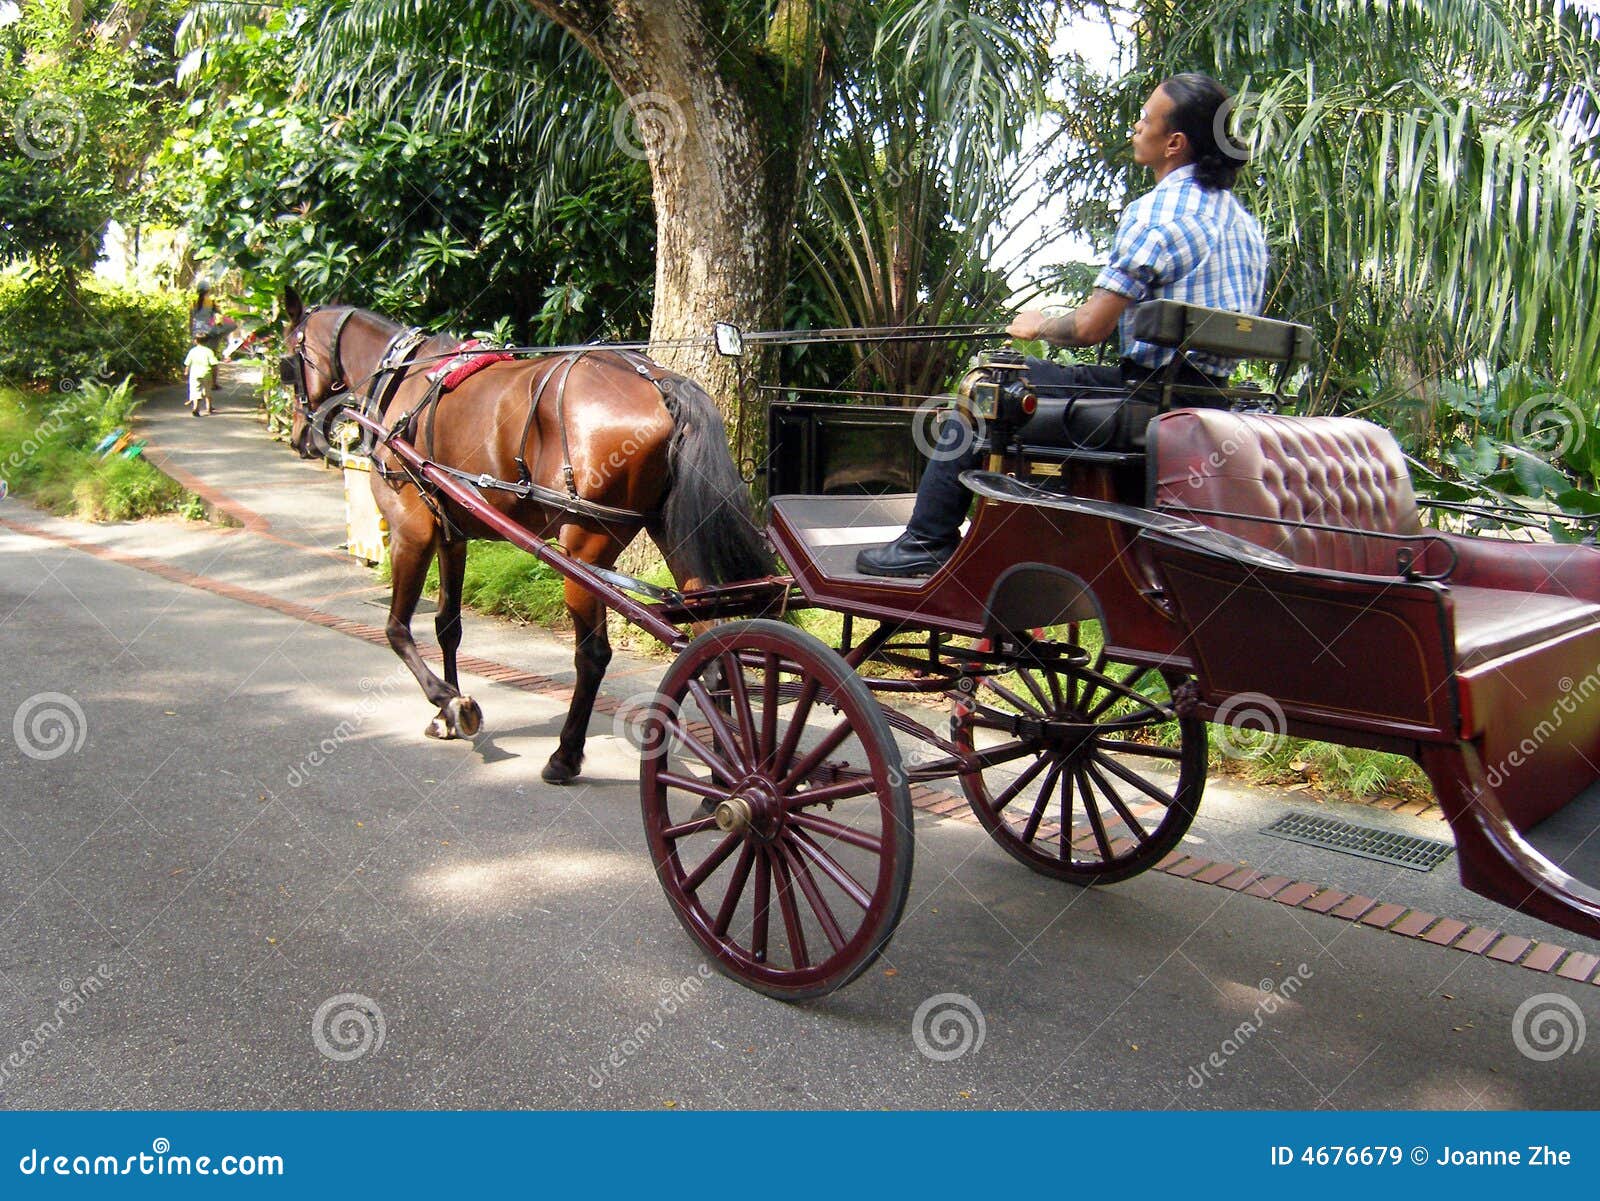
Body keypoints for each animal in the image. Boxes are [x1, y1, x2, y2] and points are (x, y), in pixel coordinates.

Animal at [279, 288, 774, 784]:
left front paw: (451, 703)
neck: (403, 377)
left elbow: (396, 629)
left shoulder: (410, 531)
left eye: (287, 359)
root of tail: (660, 383)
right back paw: (727, 761)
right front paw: (446, 713)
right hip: (672, 537)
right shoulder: (452, 536)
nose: (301, 435)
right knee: (714, 642)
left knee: (594, 655)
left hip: (582, 553)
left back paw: (565, 756)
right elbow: (447, 626)